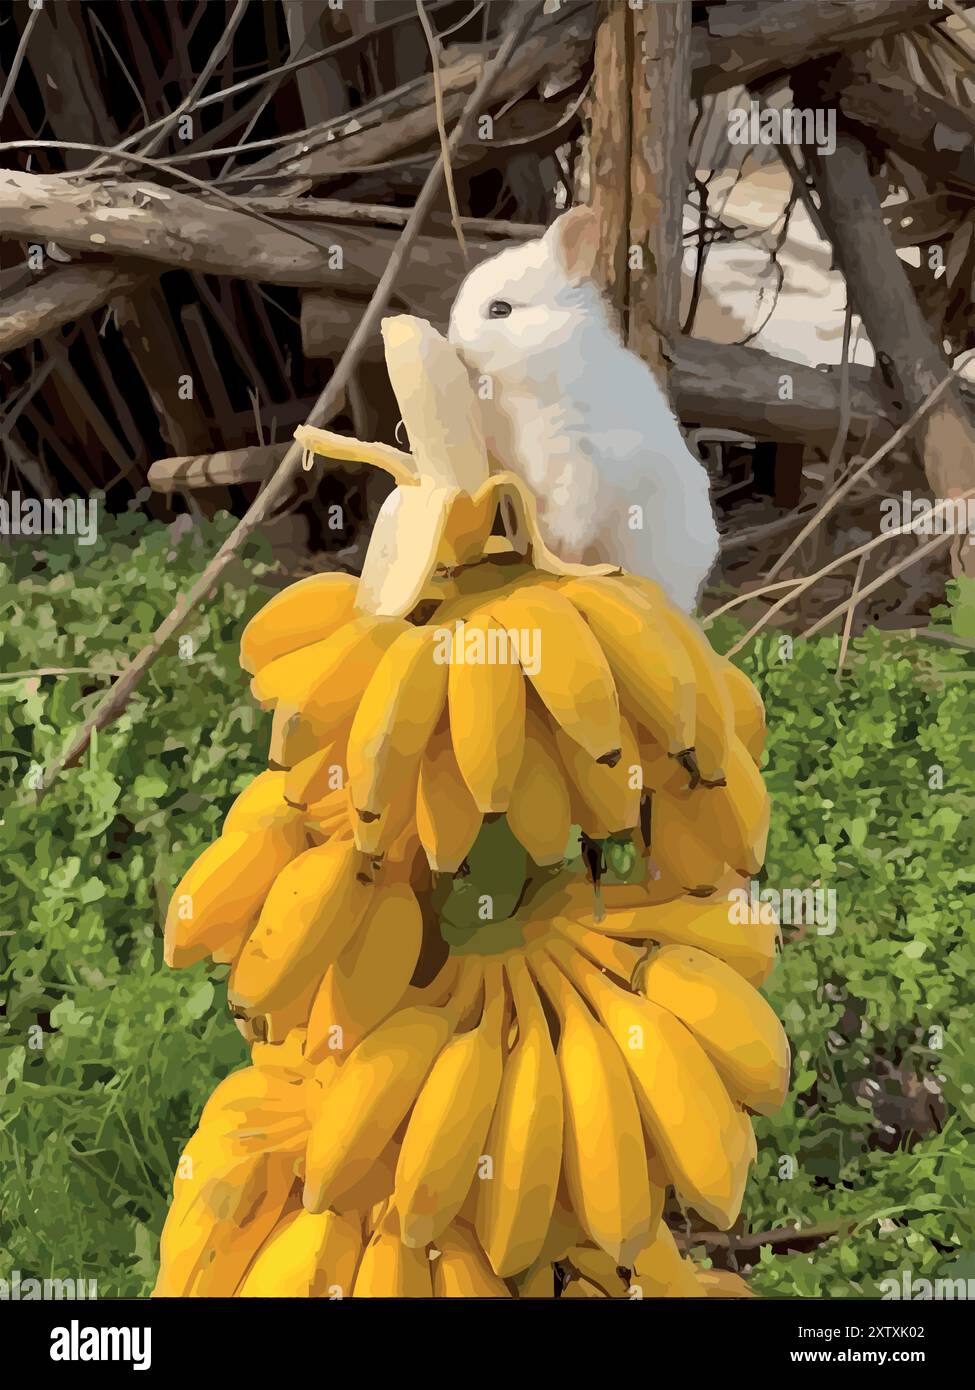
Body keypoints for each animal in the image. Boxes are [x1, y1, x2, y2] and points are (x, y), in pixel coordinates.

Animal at [447, 205, 720, 612]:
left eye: (500, 309)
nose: (455, 344)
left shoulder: (582, 469)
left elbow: (570, 530)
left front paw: (560, 562)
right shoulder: (512, 477)